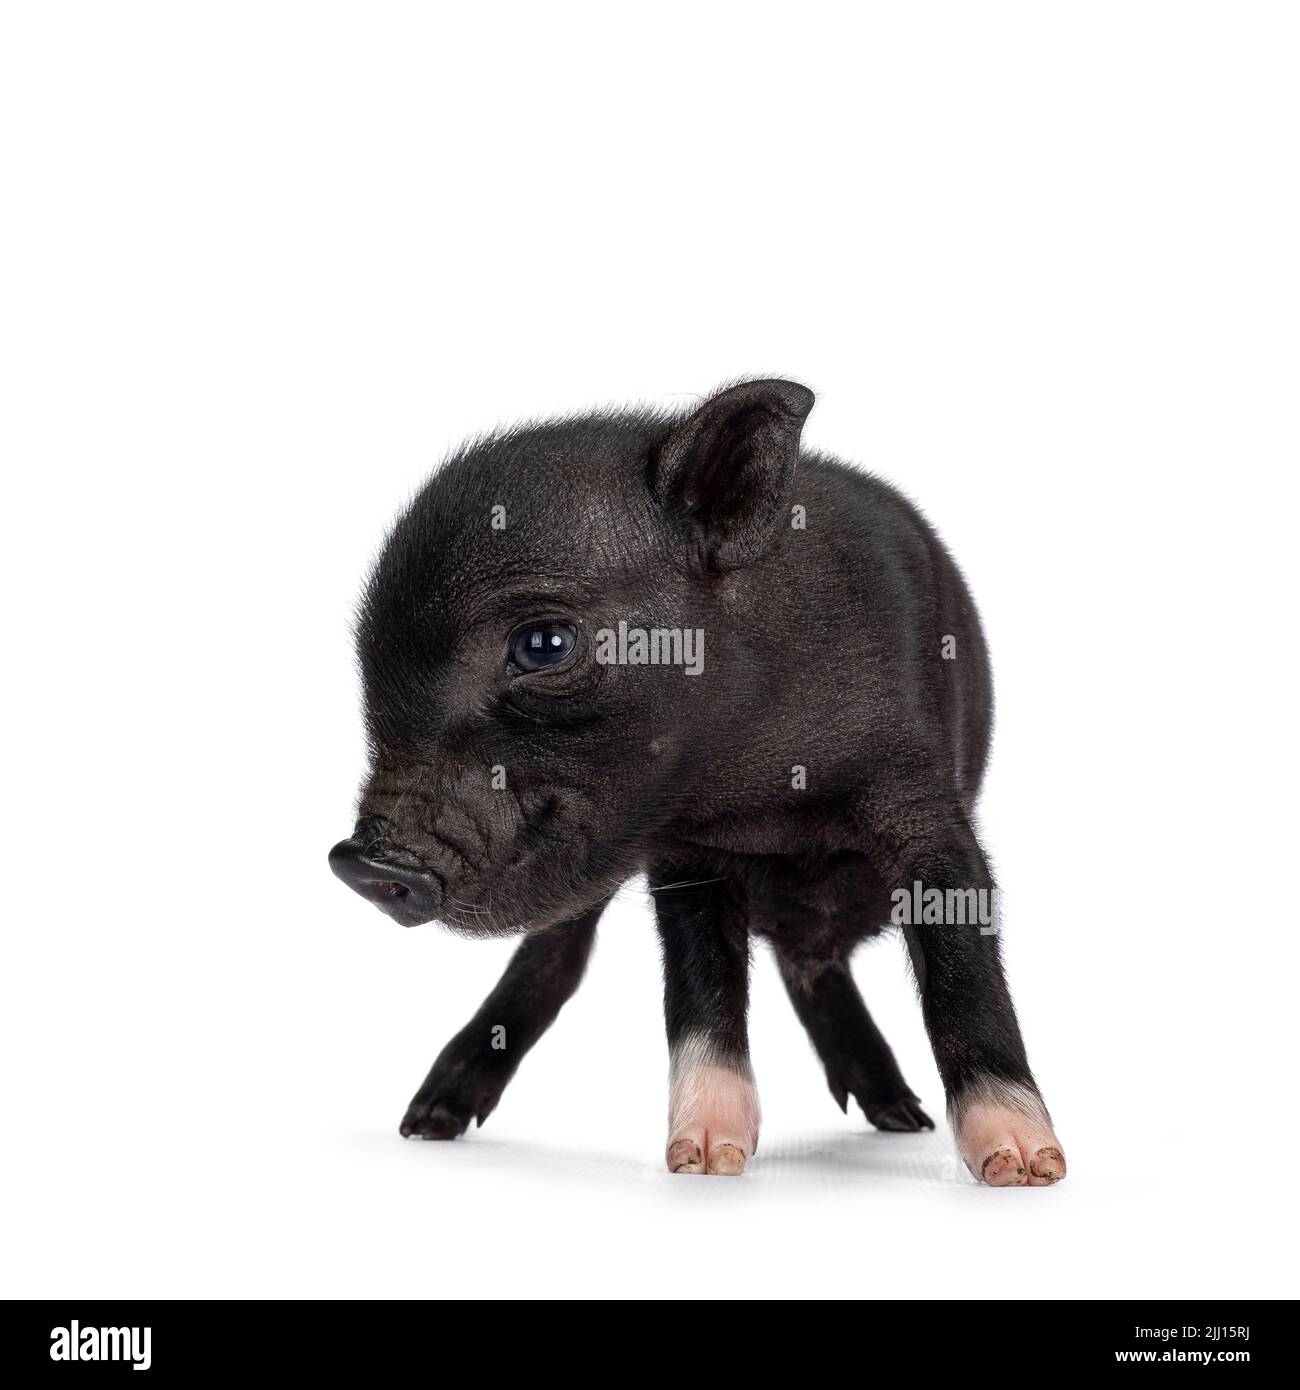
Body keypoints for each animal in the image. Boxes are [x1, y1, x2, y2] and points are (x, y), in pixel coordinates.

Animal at [329, 378, 1066, 1185]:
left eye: (544, 643)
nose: (360, 862)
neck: (770, 804)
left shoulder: (921, 800)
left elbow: (963, 964)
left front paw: (1024, 1166)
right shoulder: (687, 857)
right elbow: (701, 986)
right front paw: (705, 1160)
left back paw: (903, 1118)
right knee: (561, 956)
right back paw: (428, 1123)